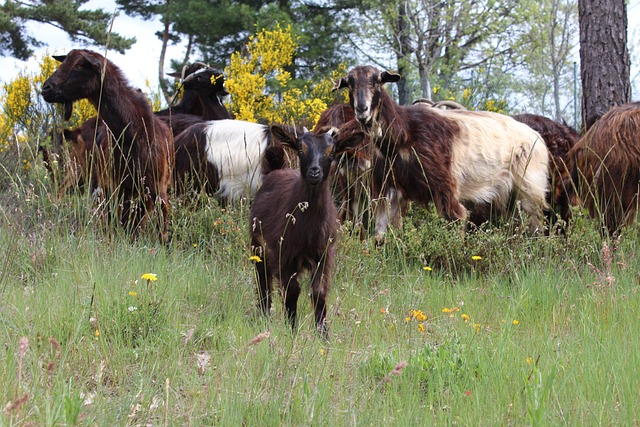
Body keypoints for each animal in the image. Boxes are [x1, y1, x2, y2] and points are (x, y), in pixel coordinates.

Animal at [41, 49, 173, 242]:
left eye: (79, 65)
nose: (46, 88)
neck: (132, 132)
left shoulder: (156, 188)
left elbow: (159, 230)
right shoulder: (114, 186)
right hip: (82, 173)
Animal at [250, 125, 361, 336]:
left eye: (331, 152)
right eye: (301, 150)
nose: (314, 172)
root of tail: (277, 170)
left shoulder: (324, 254)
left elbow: (319, 293)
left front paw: (323, 334)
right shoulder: (285, 255)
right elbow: (292, 291)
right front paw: (292, 330)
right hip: (257, 247)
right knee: (263, 283)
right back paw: (264, 316)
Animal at [334, 65, 550, 240]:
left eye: (378, 80)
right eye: (350, 83)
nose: (362, 109)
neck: (406, 133)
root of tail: (537, 138)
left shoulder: (445, 187)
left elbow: (456, 219)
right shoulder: (389, 188)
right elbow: (380, 235)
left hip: (530, 188)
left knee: (536, 222)